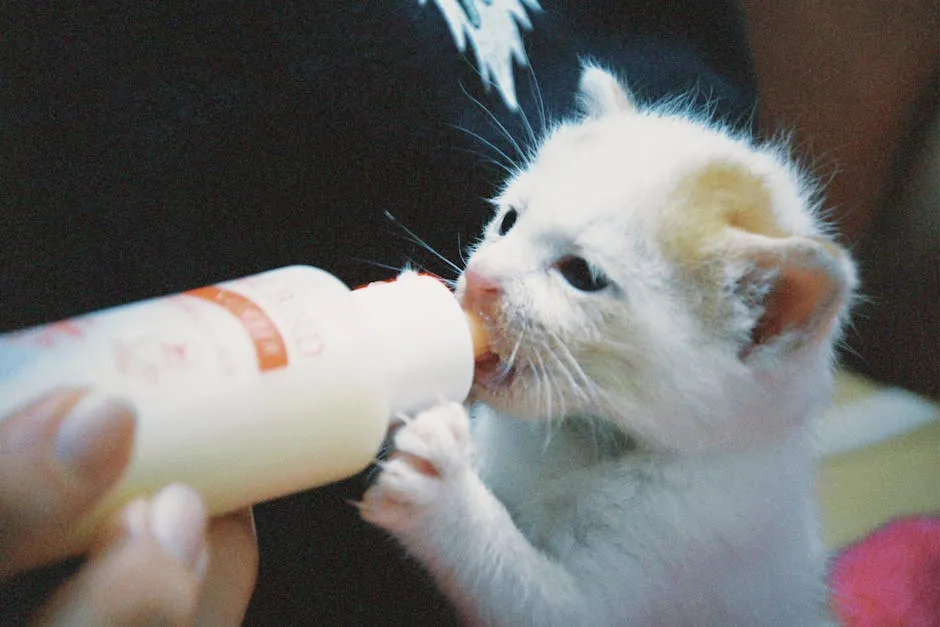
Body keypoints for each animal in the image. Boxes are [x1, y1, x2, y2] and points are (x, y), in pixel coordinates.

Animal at [356, 66, 856, 624]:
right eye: (508, 220)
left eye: (582, 275)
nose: (481, 277)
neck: (583, 442)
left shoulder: (679, 546)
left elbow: (530, 596)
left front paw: (444, 490)